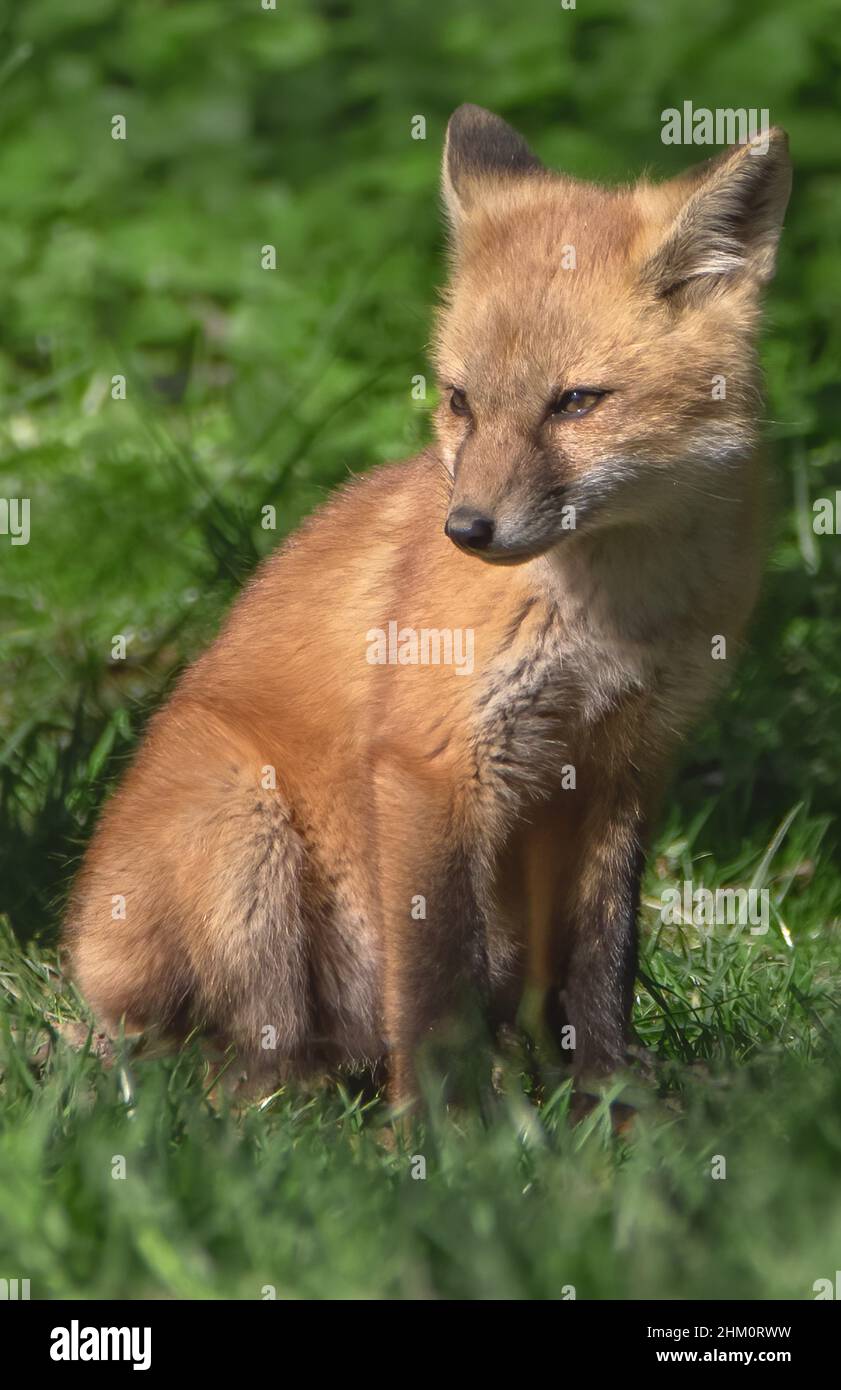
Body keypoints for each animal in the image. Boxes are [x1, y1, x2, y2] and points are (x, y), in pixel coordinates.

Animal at [64, 105, 791, 1107]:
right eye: (459, 401)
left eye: (575, 402)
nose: (466, 529)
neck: (609, 617)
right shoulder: (431, 762)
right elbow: (437, 977)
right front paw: (445, 1133)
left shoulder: (622, 767)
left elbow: (602, 962)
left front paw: (612, 1105)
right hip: (243, 825)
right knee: (243, 1070)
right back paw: (294, 1107)